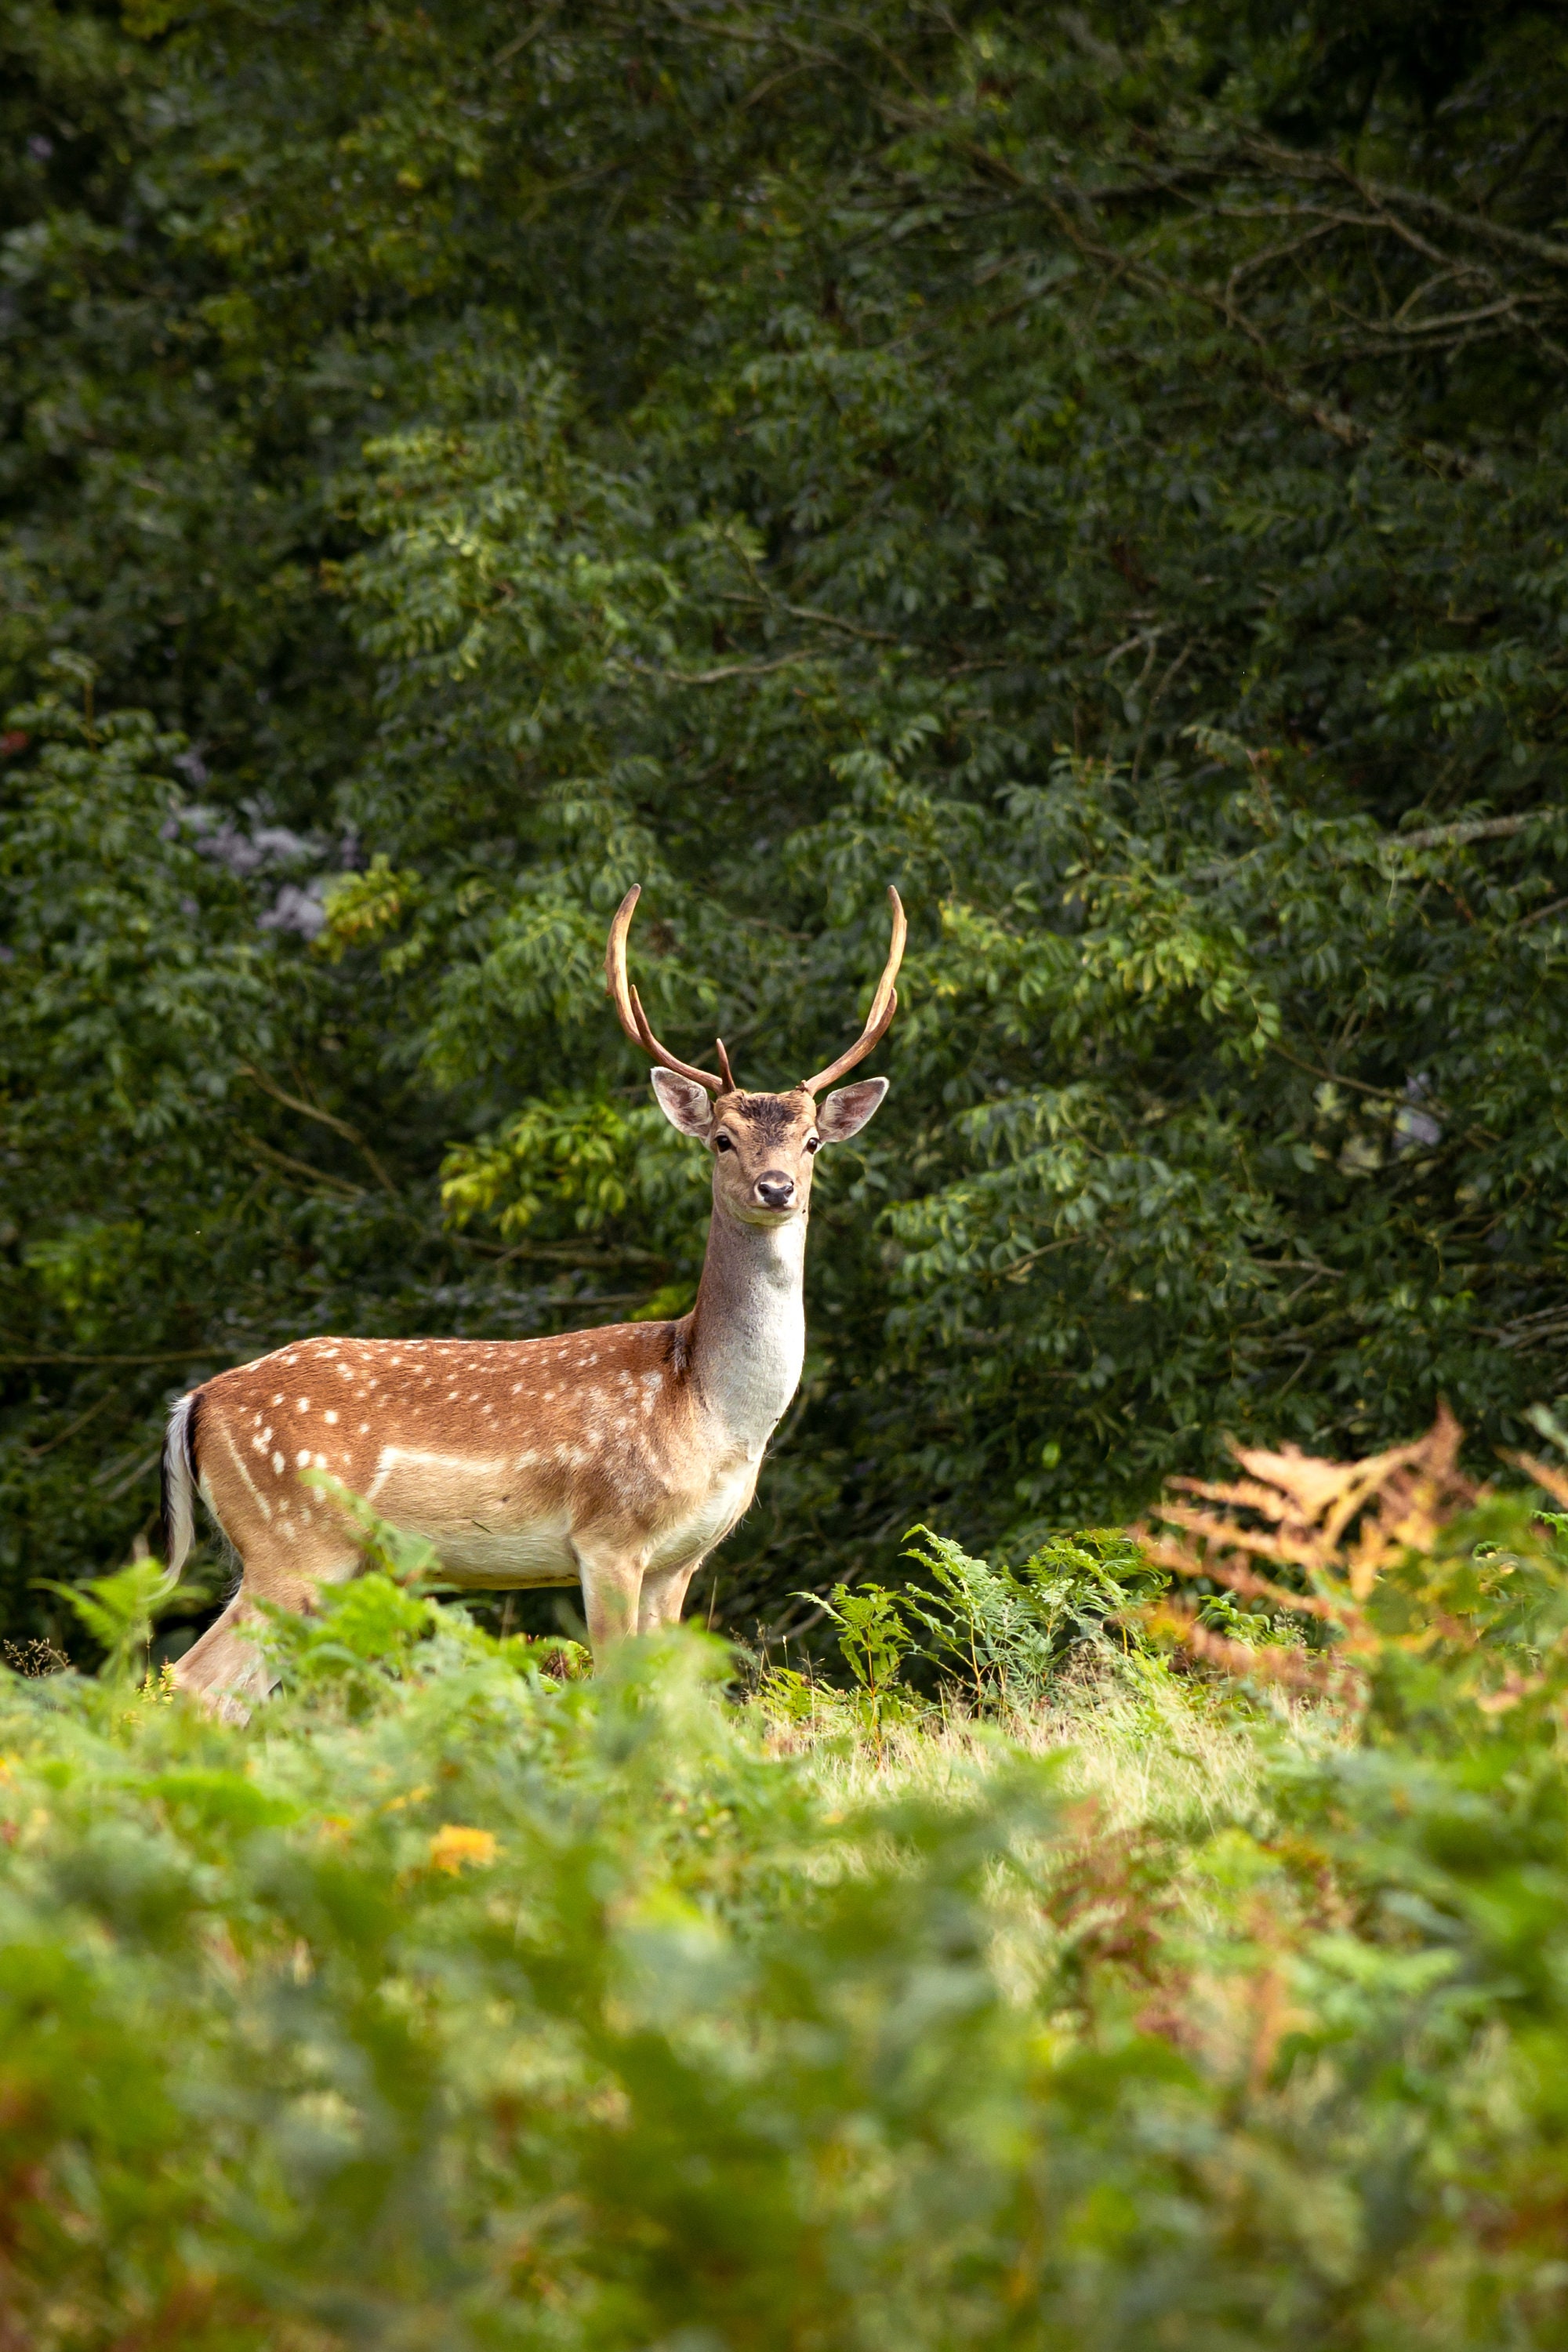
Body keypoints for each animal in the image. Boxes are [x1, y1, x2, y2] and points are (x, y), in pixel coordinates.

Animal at [162, 884, 905, 1709]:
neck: (711, 1410)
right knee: (193, 1677)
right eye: (722, 1140)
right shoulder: (608, 1535)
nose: (776, 1188)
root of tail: (193, 1403)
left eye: (812, 1142)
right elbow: (613, 1684)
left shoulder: (680, 1561)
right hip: (294, 1541)